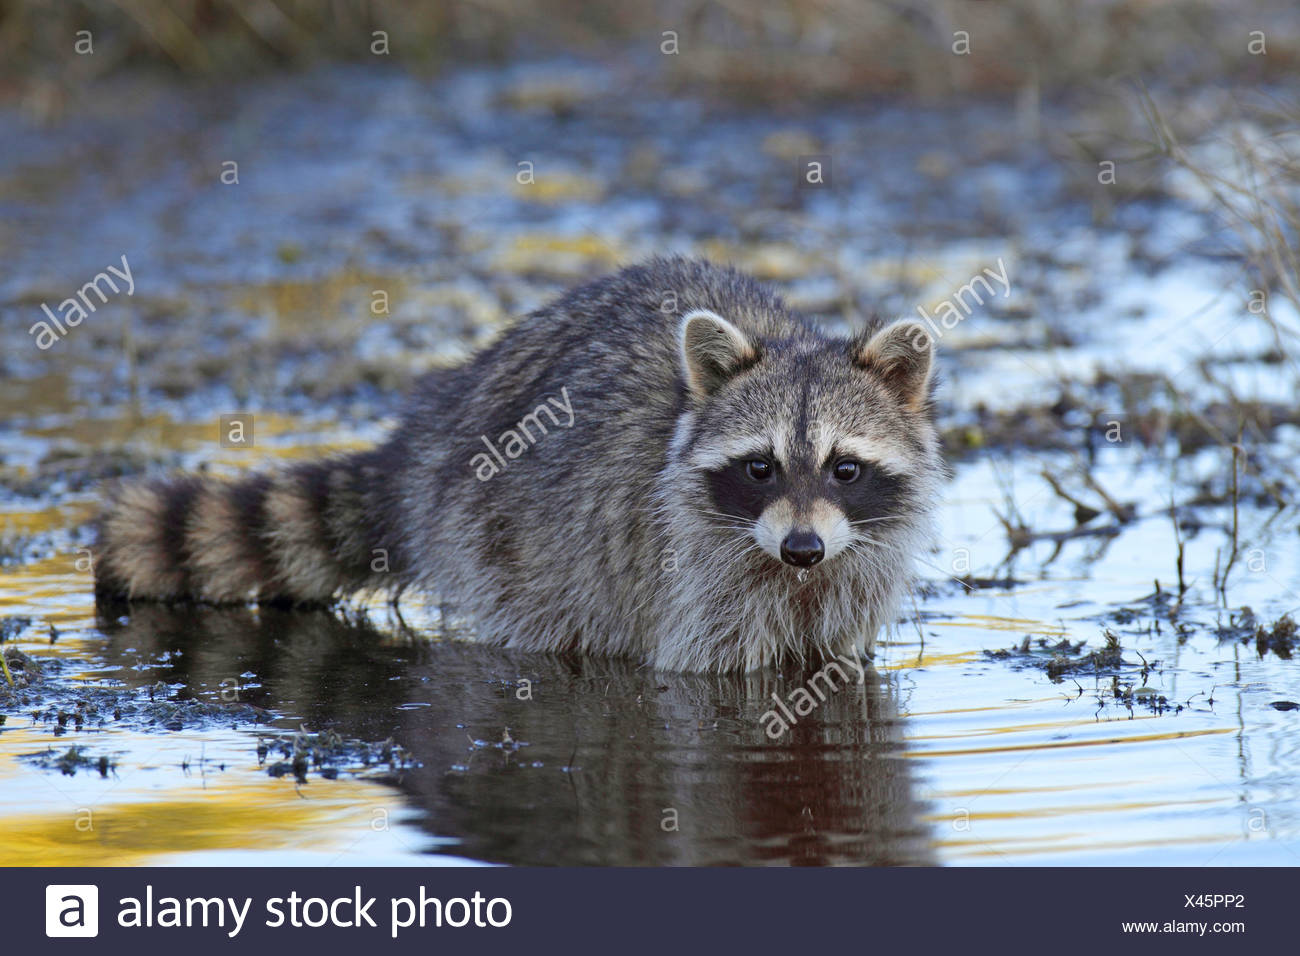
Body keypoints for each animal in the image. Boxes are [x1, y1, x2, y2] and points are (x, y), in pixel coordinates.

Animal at [95, 257, 943, 672]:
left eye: (843, 469)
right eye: (760, 467)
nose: (802, 548)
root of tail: (437, 424)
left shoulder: (854, 564)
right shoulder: (692, 573)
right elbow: (714, 671)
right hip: (507, 544)